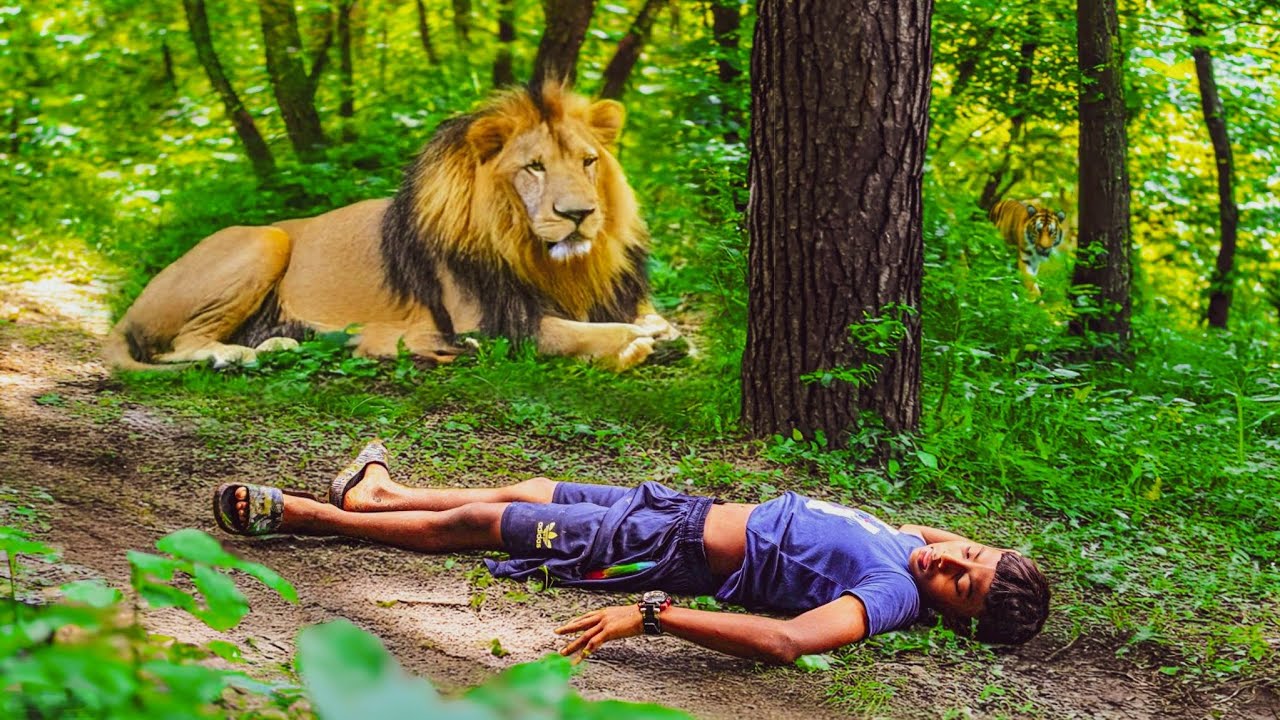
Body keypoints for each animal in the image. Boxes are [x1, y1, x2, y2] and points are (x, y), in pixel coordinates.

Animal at [104, 82, 682, 373]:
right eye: (534, 167)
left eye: (588, 161)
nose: (579, 214)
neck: (557, 264)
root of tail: (128, 310)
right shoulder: (487, 321)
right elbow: (581, 334)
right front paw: (636, 342)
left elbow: (656, 322)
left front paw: (663, 331)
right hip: (265, 239)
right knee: (179, 345)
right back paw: (233, 355)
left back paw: (277, 345)